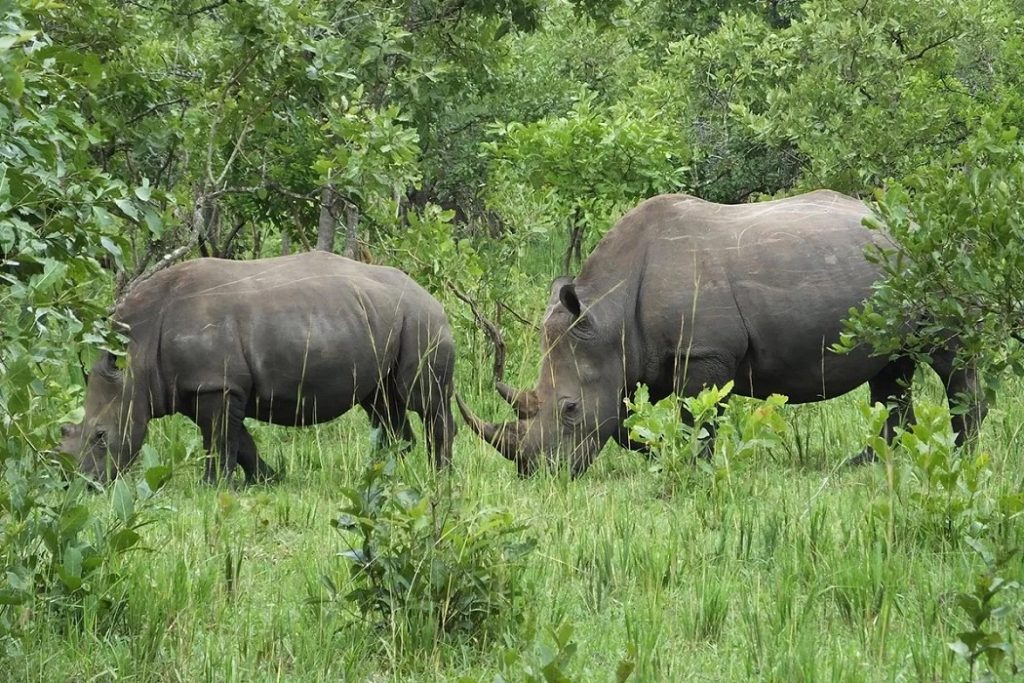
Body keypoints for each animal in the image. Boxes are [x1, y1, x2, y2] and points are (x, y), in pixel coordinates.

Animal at [61, 251, 456, 483]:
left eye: (100, 437)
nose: (84, 484)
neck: (136, 354)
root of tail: (433, 297)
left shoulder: (215, 384)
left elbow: (220, 441)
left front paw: (212, 486)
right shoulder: (198, 388)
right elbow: (239, 442)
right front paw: (268, 480)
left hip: (421, 321)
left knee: (422, 399)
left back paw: (440, 477)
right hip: (380, 316)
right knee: (381, 401)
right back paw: (376, 475)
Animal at [458, 190, 987, 476]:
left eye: (569, 410)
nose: (536, 473)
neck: (606, 316)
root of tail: (931, 223)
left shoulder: (705, 353)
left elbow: (699, 416)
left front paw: (694, 464)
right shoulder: (635, 359)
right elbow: (624, 422)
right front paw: (656, 452)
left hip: (932, 266)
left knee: (946, 359)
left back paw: (960, 458)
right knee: (891, 369)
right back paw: (872, 462)